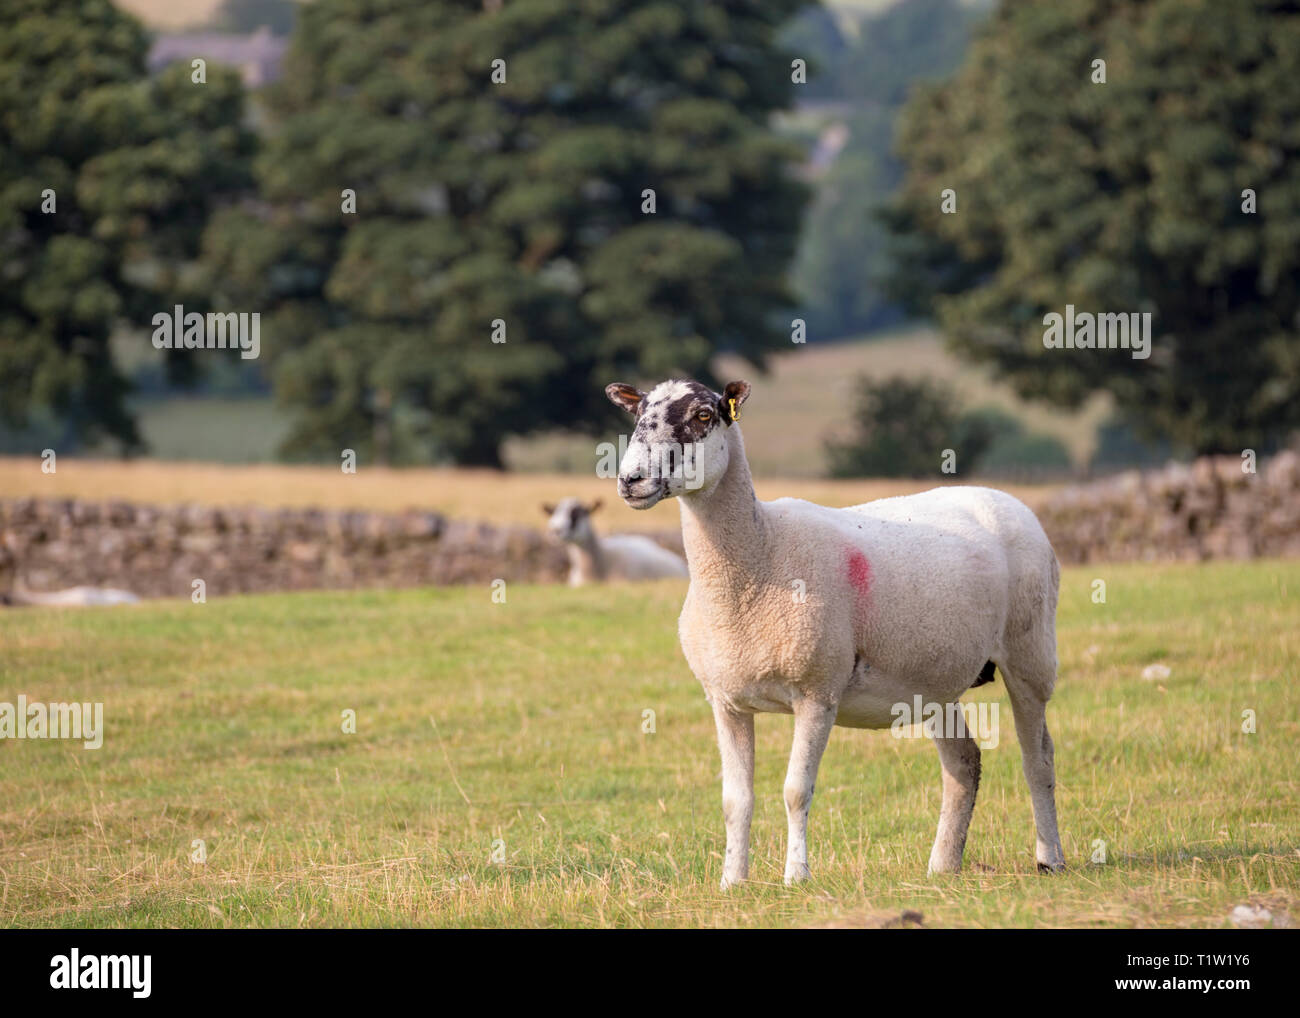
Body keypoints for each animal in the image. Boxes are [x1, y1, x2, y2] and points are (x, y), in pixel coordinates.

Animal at [606, 377, 1065, 887]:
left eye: (704, 415)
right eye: (637, 414)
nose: (630, 480)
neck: (761, 553)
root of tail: (1003, 498)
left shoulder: (817, 692)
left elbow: (795, 790)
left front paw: (796, 876)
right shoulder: (726, 701)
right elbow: (735, 800)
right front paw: (732, 882)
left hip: (1030, 652)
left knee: (1038, 757)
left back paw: (1049, 858)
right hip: (934, 678)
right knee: (964, 763)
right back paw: (942, 866)